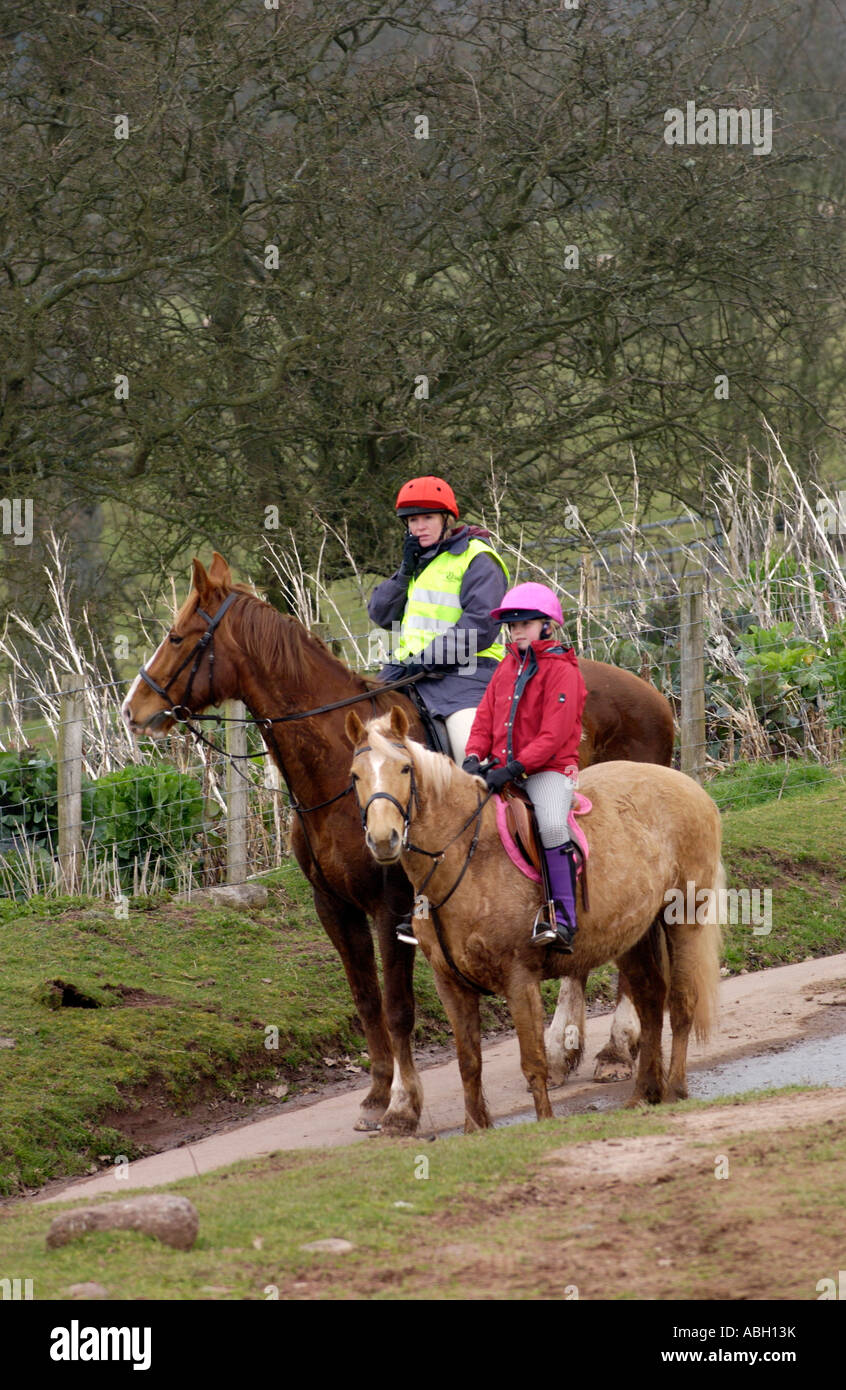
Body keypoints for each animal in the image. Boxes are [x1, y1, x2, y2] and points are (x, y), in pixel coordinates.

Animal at [122, 552, 675, 1134]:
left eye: (178, 637)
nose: (131, 711)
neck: (337, 769)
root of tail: (651, 694)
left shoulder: (391, 906)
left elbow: (397, 1006)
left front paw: (403, 1104)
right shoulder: (333, 905)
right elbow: (367, 1002)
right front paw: (374, 1095)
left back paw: (616, 1049)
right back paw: (566, 1048)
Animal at [347, 705, 723, 1129]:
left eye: (405, 769)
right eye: (355, 776)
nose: (383, 840)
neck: (465, 858)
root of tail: (688, 785)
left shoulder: (519, 979)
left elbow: (533, 1062)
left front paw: (544, 1122)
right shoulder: (451, 986)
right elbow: (468, 1063)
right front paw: (476, 1129)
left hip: (685, 920)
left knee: (681, 1003)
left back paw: (674, 1089)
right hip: (632, 935)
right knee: (650, 1001)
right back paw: (644, 1093)